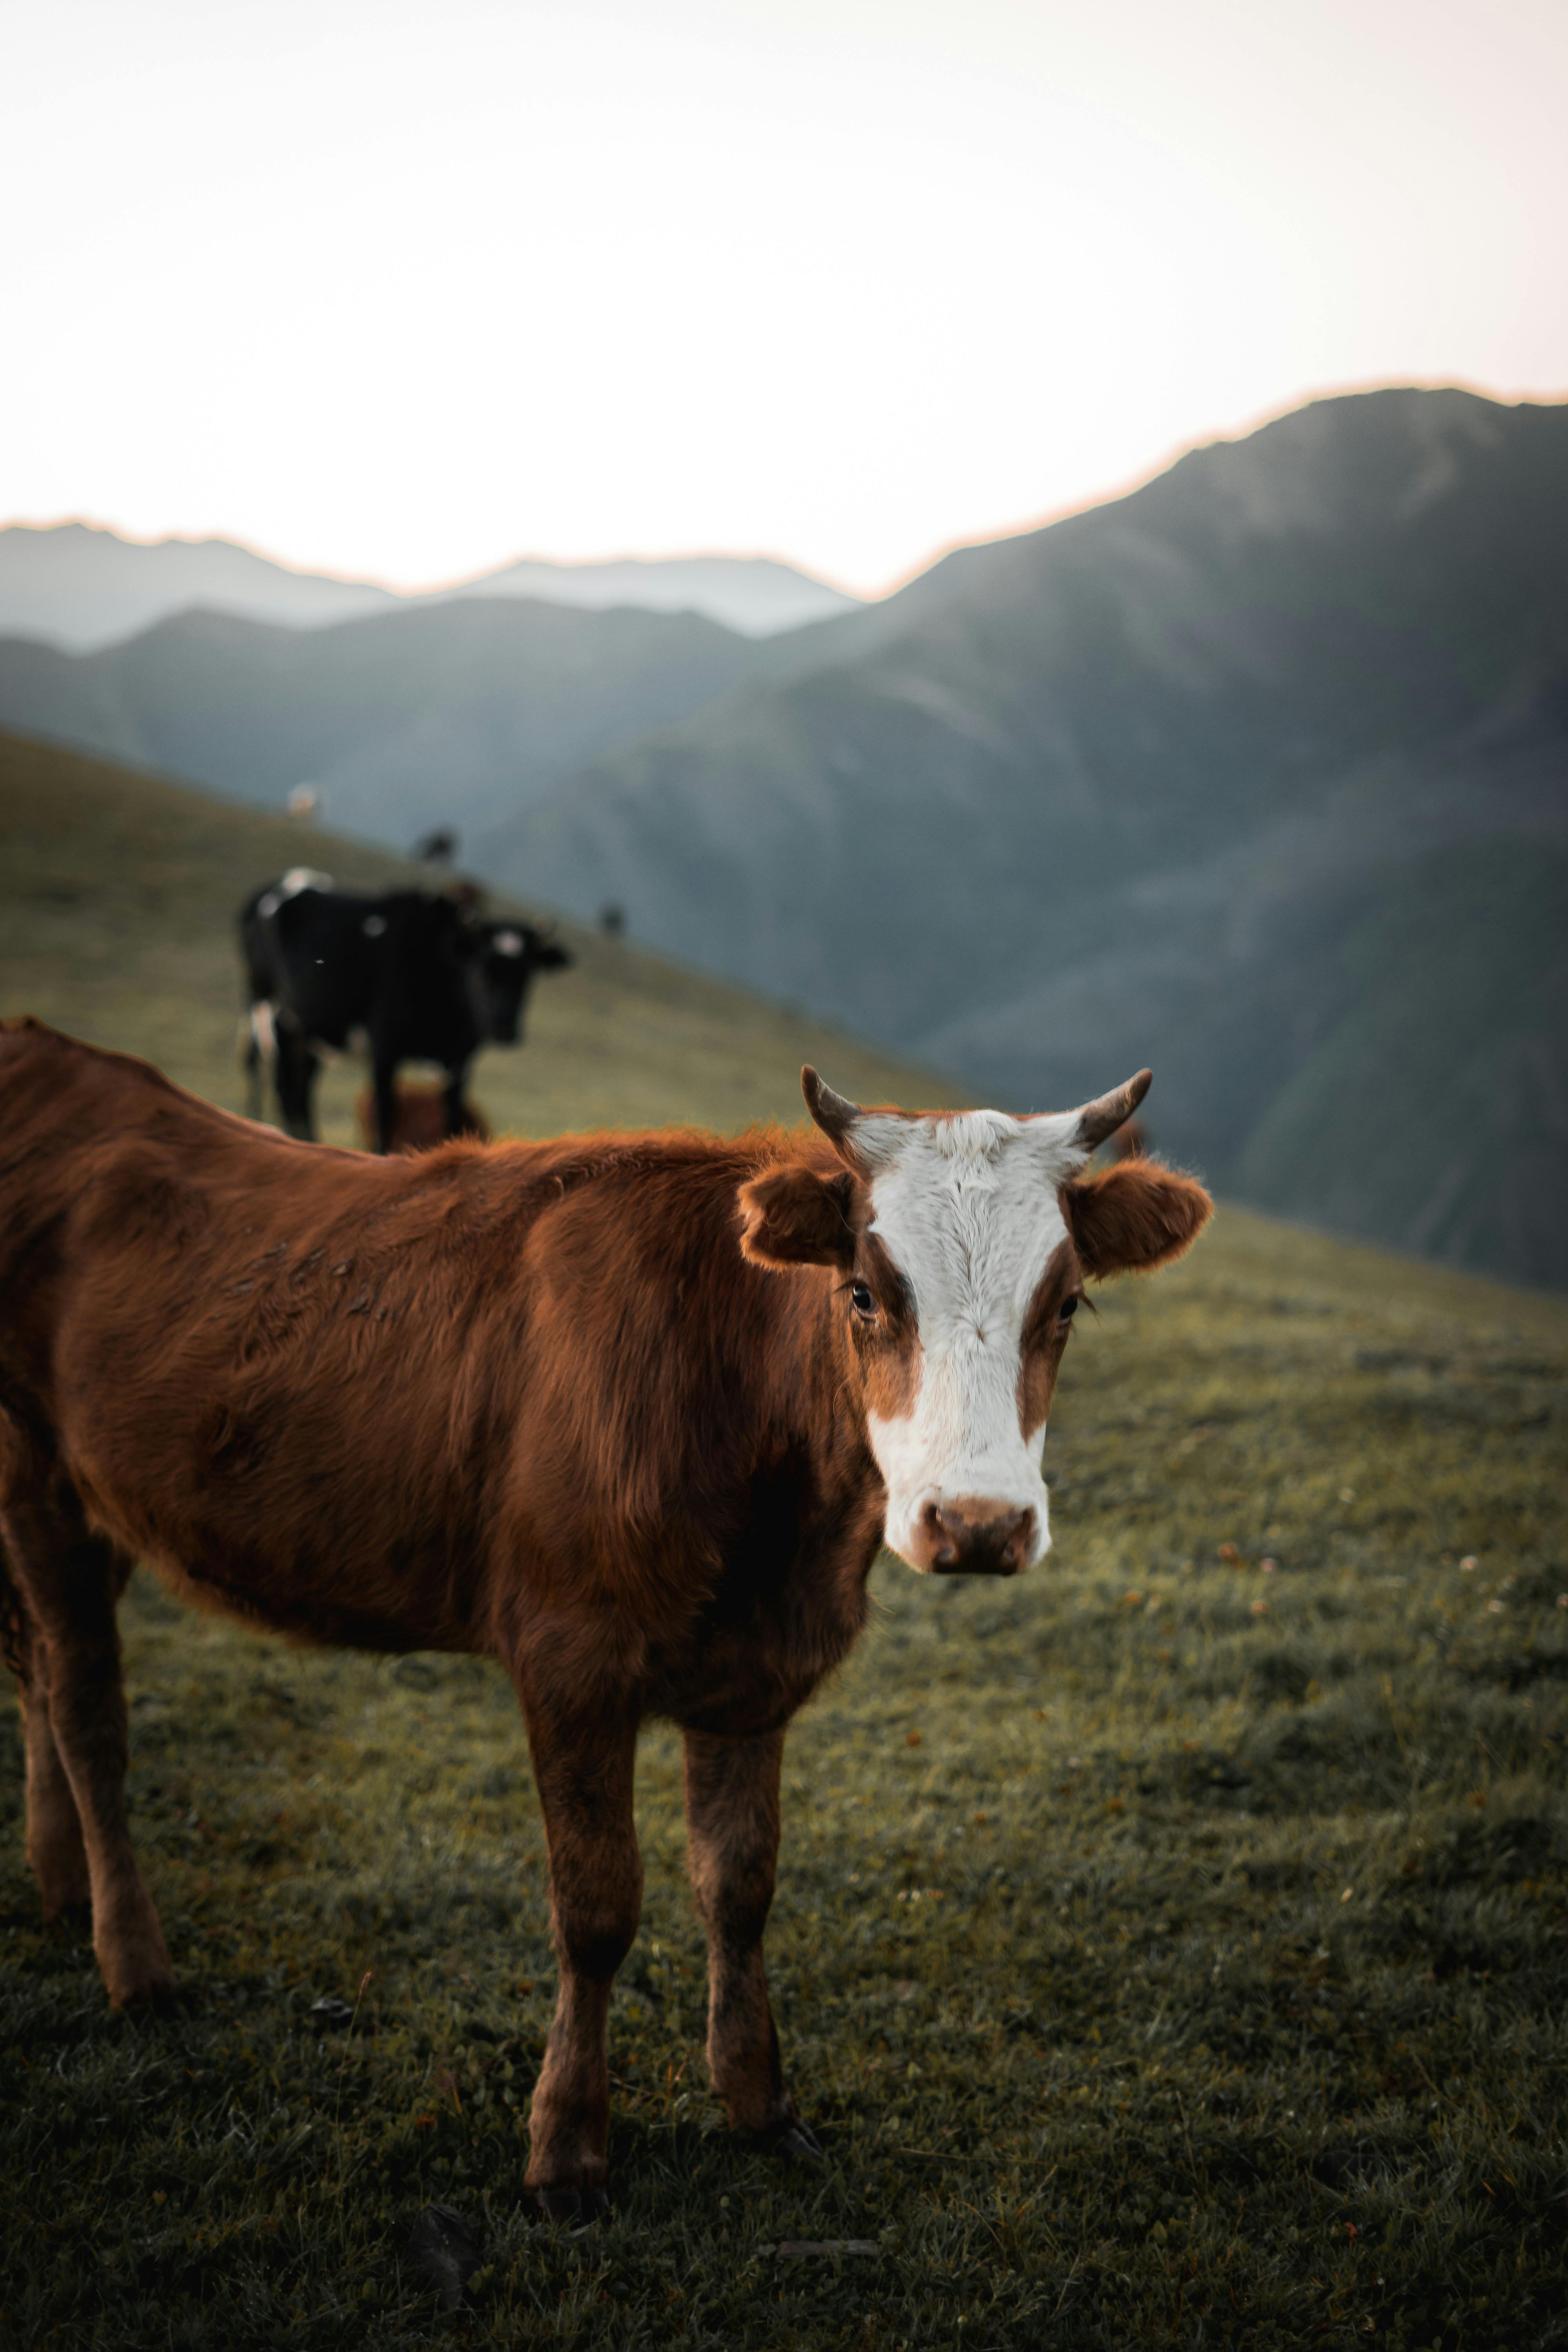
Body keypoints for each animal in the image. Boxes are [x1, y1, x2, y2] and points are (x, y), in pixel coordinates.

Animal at [0, 1020, 1210, 2219]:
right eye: (865, 1295)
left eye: (1065, 1305)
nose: (977, 1524)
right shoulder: (570, 1658)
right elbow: (596, 1908)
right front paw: (566, 2150)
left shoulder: (756, 1670)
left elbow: (741, 1882)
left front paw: (758, 2102)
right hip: (40, 1481)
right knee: (86, 1710)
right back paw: (135, 1966)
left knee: (36, 1673)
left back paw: (58, 1890)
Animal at [239, 875, 570, 1151]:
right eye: (480, 968)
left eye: (527, 974)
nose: (504, 1029)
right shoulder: (385, 1050)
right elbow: (386, 1118)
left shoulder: (459, 1065)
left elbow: (453, 1123)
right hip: (271, 1012)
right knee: (284, 1090)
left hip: (313, 1034)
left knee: (300, 1095)